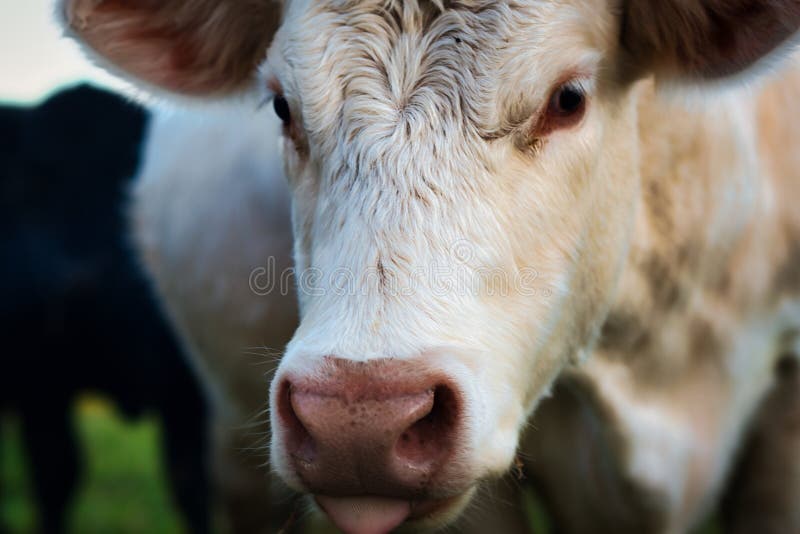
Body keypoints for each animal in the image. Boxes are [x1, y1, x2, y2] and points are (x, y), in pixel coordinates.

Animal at [0, 84, 210, 534]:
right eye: (30, 187)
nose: (76, 279)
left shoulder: (188, 392)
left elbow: (191, 487)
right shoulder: (39, 384)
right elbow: (56, 477)